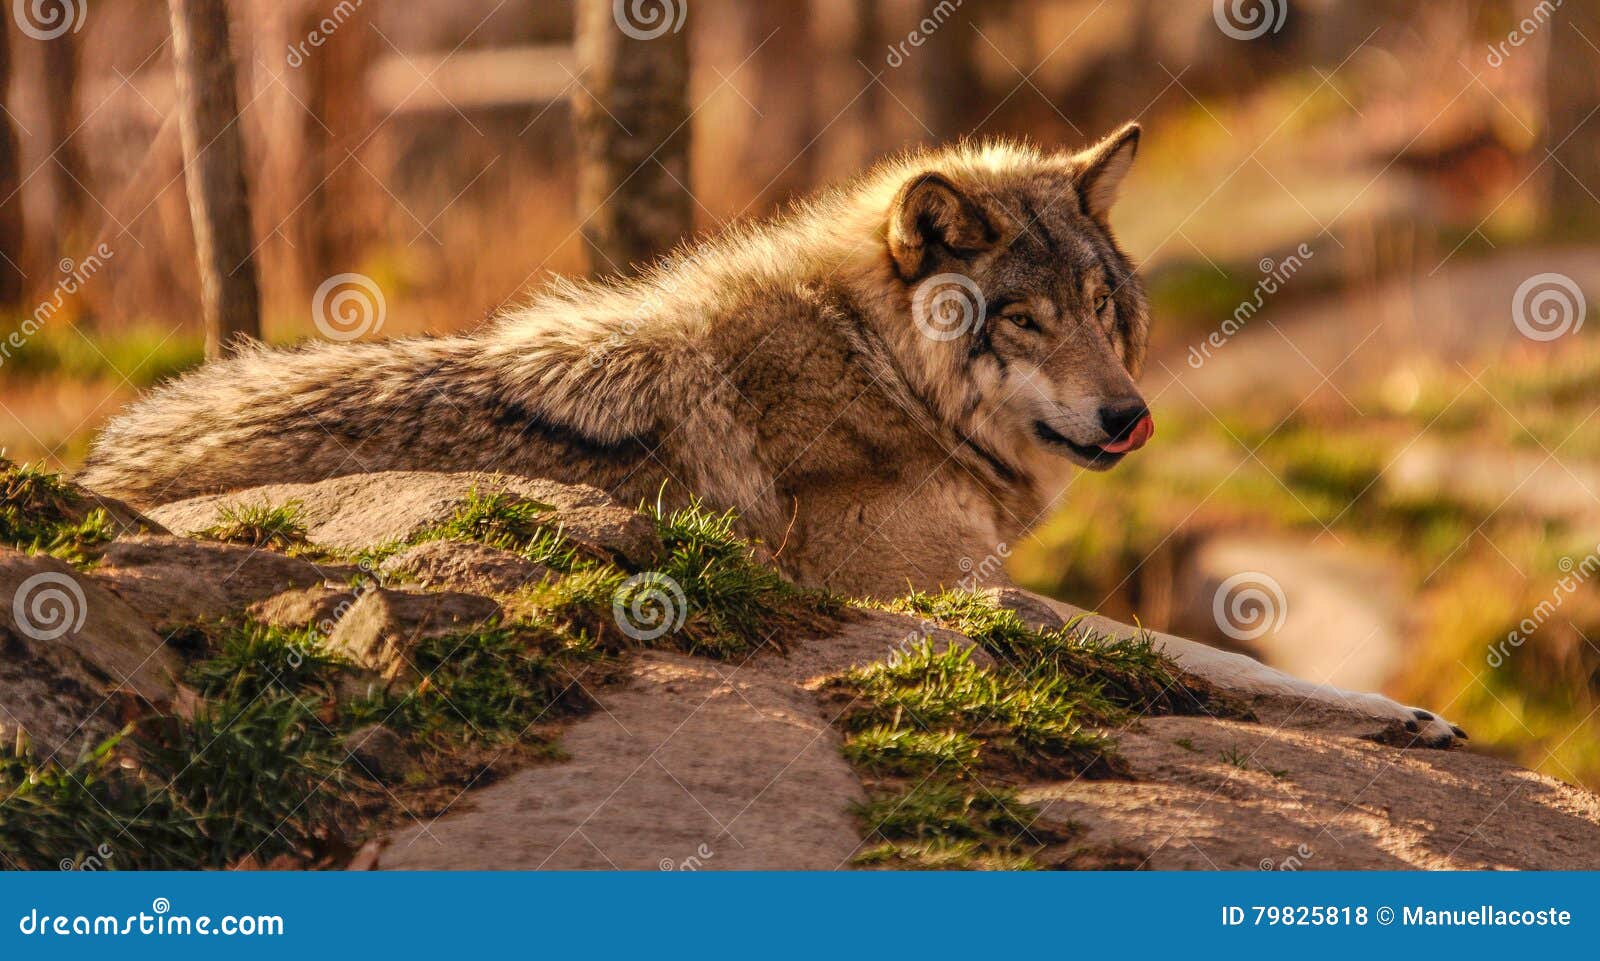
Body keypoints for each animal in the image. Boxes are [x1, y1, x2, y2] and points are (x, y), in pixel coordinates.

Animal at [81, 123, 1461, 744]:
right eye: (1021, 320)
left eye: (1102, 309)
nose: (1129, 416)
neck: (882, 374)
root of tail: (102, 463)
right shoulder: (942, 594)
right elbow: (1192, 649)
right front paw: (1400, 713)